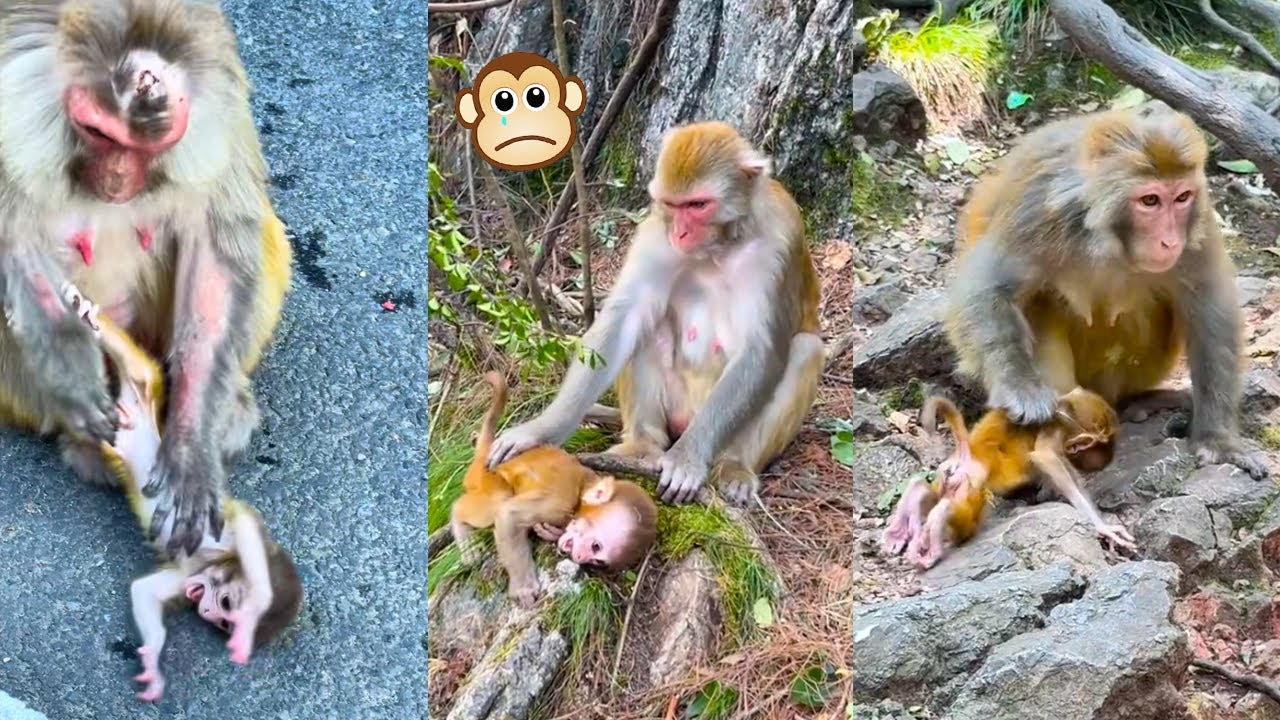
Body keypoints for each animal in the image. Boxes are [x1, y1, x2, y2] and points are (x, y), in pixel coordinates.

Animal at [0, 2, 293, 557]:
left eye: (143, 141)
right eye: (99, 133)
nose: (116, 179)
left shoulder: (218, 106)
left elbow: (215, 253)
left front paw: (192, 452)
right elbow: (11, 240)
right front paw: (70, 365)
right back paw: (89, 440)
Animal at [59, 284, 300, 703]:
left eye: (221, 620)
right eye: (225, 606)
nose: (206, 613)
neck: (210, 562)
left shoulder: (189, 574)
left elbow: (144, 592)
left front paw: (153, 665)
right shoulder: (219, 544)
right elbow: (246, 525)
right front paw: (256, 607)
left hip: (126, 405)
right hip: (148, 388)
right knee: (138, 369)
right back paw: (83, 312)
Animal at [486, 122, 826, 507]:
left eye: (698, 205)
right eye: (672, 205)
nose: (680, 231)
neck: (720, 246)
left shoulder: (780, 244)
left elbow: (761, 350)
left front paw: (687, 459)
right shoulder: (656, 236)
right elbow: (624, 321)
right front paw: (541, 431)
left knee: (805, 349)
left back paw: (734, 466)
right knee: (647, 326)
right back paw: (642, 446)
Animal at [880, 387, 1136, 569]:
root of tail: (967, 451)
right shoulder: (1057, 432)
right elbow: (1045, 458)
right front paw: (1103, 527)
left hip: (949, 478)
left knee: (924, 489)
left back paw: (899, 530)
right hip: (970, 488)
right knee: (957, 514)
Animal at [942, 100, 1268, 481]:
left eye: (1182, 197)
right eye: (1150, 200)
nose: (1170, 241)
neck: (1105, 234)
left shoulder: (1198, 222)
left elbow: (1209, 307)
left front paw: (1218, 440)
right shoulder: (1039, 211)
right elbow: (986, 288)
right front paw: (1020, 387)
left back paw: (1139, 402)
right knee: (1038, 301)